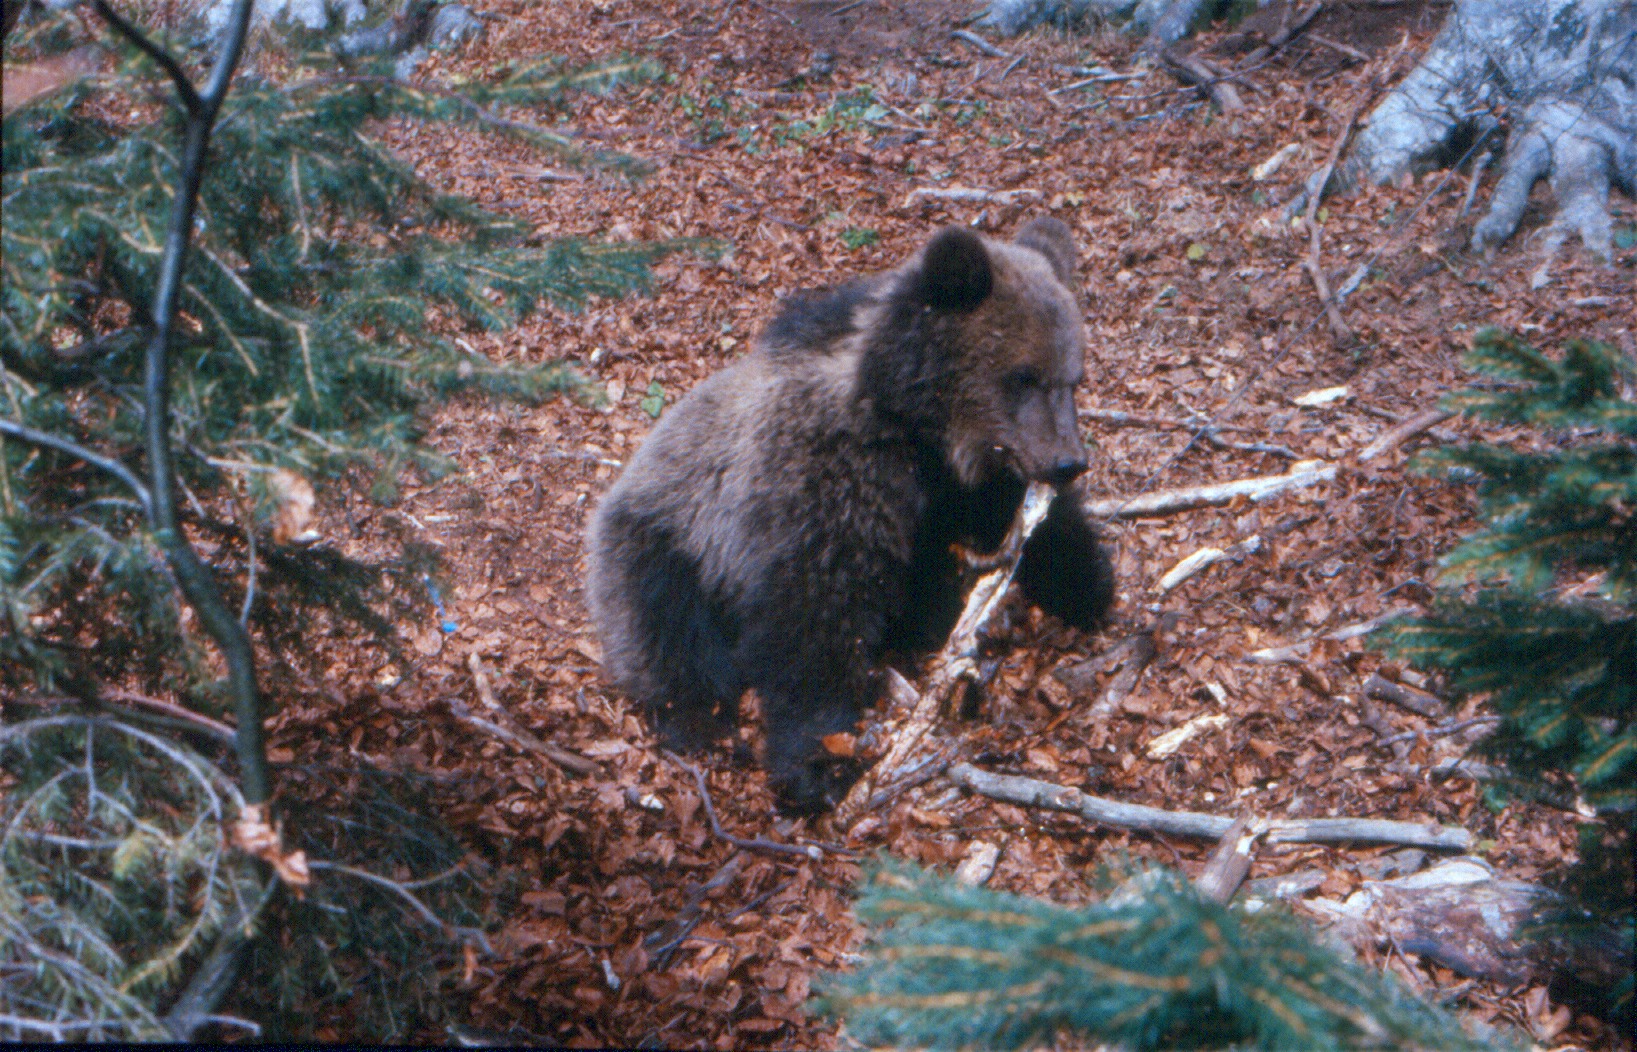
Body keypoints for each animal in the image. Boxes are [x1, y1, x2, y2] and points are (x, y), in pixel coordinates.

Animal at [585, 218, 1115, 814]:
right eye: (1024, 375)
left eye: (1074, 377)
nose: (1068, 461)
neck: (915, 429)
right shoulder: (823, 477)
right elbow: (817, 612)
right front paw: (819, 762)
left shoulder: (963, 487)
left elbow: (1036, 529)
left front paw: (1085, 581)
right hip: (665, 540)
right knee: (668, 632)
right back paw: (697, 714)